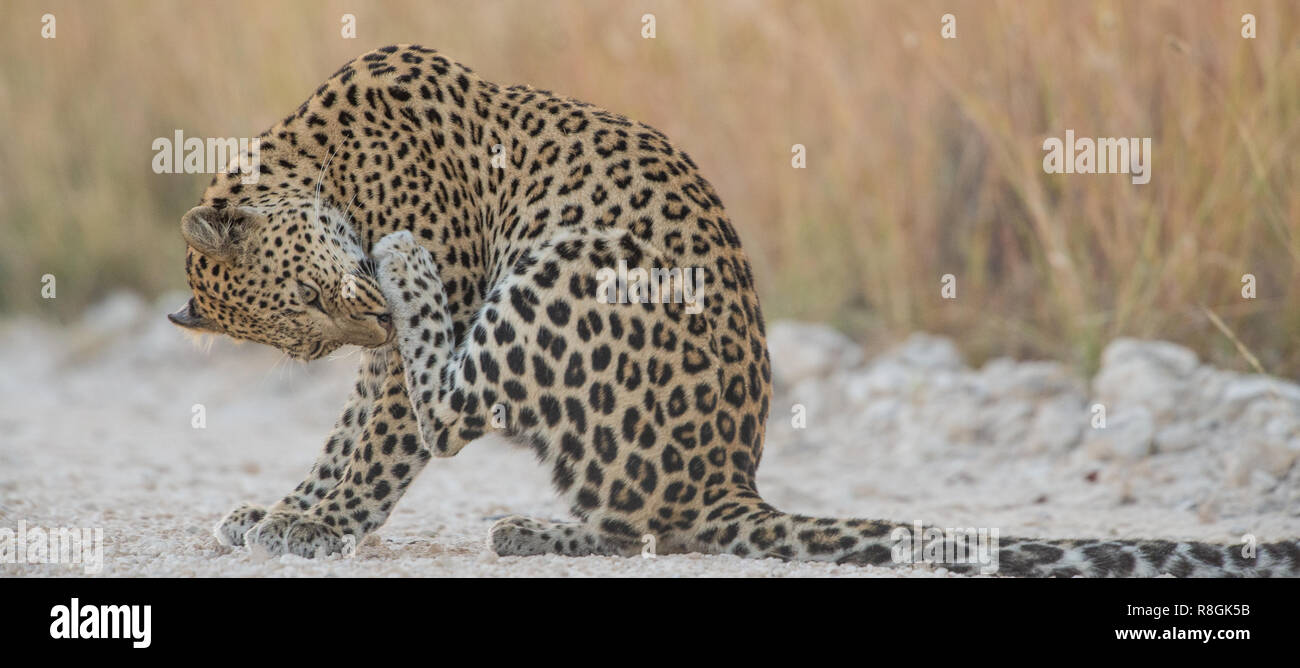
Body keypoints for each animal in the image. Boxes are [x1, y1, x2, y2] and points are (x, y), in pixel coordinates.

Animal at [170, 44, 1298, 577]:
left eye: (314, 302)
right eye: (301, 335)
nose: (372, 322)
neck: (322, 154)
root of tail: (728, 475)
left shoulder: (439, 280)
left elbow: (378, 431)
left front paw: (301, 522)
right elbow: (358, 426)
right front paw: (274, 513)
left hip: (563, 269)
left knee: (460, 407)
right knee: (644, 523)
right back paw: (537, 532)